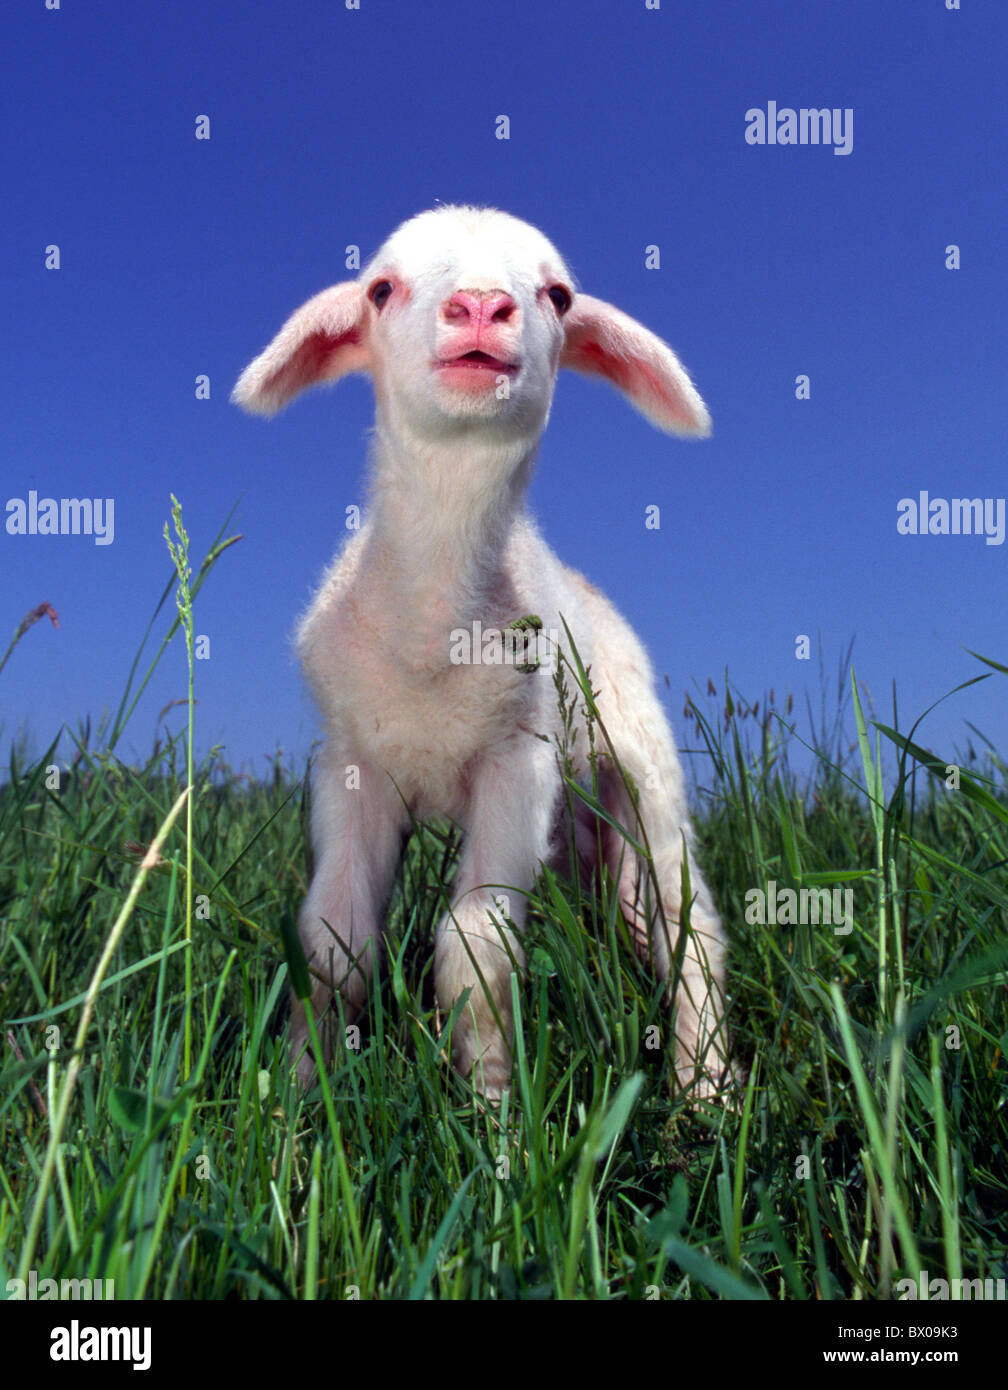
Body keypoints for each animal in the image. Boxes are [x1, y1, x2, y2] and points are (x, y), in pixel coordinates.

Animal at [232, 205, 727, 1100]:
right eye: (381, 288)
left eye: (557, 295)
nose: (480, 308)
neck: (432, 635)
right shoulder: (351, 763)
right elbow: (331, 944)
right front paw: (297, 1095)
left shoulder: (518, 758)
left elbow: (474, 946)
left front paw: (490, 1107)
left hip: (642, 774)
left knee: (686, 924)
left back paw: (707, 1089)